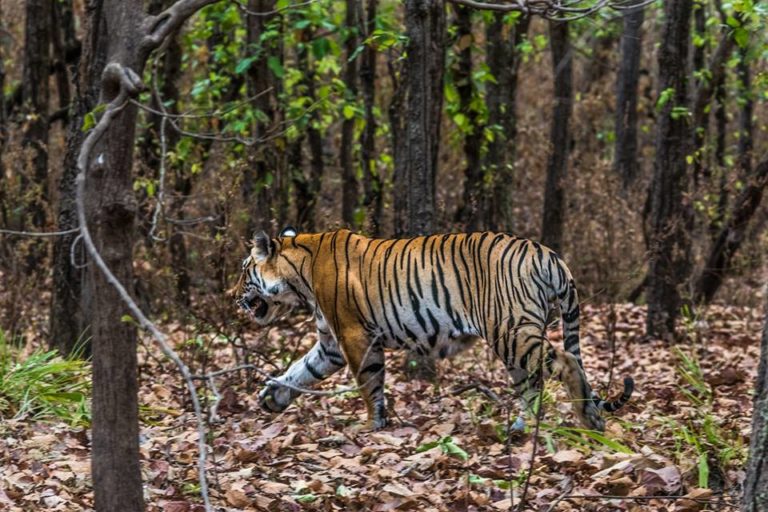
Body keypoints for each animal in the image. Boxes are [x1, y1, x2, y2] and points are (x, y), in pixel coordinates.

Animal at [234, 227, 634, 432]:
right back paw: (522, 428)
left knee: (566, 362)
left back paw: (589, 421)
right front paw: (272, 397)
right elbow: (300, 370)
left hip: (511, 331)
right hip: (514, 338)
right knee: (533, 383)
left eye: (243, 270)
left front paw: (372, 426)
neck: (298, 276)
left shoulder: (354, 336)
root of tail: (547, 254)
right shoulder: (331, 344)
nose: (232, 297)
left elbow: (369, 384)